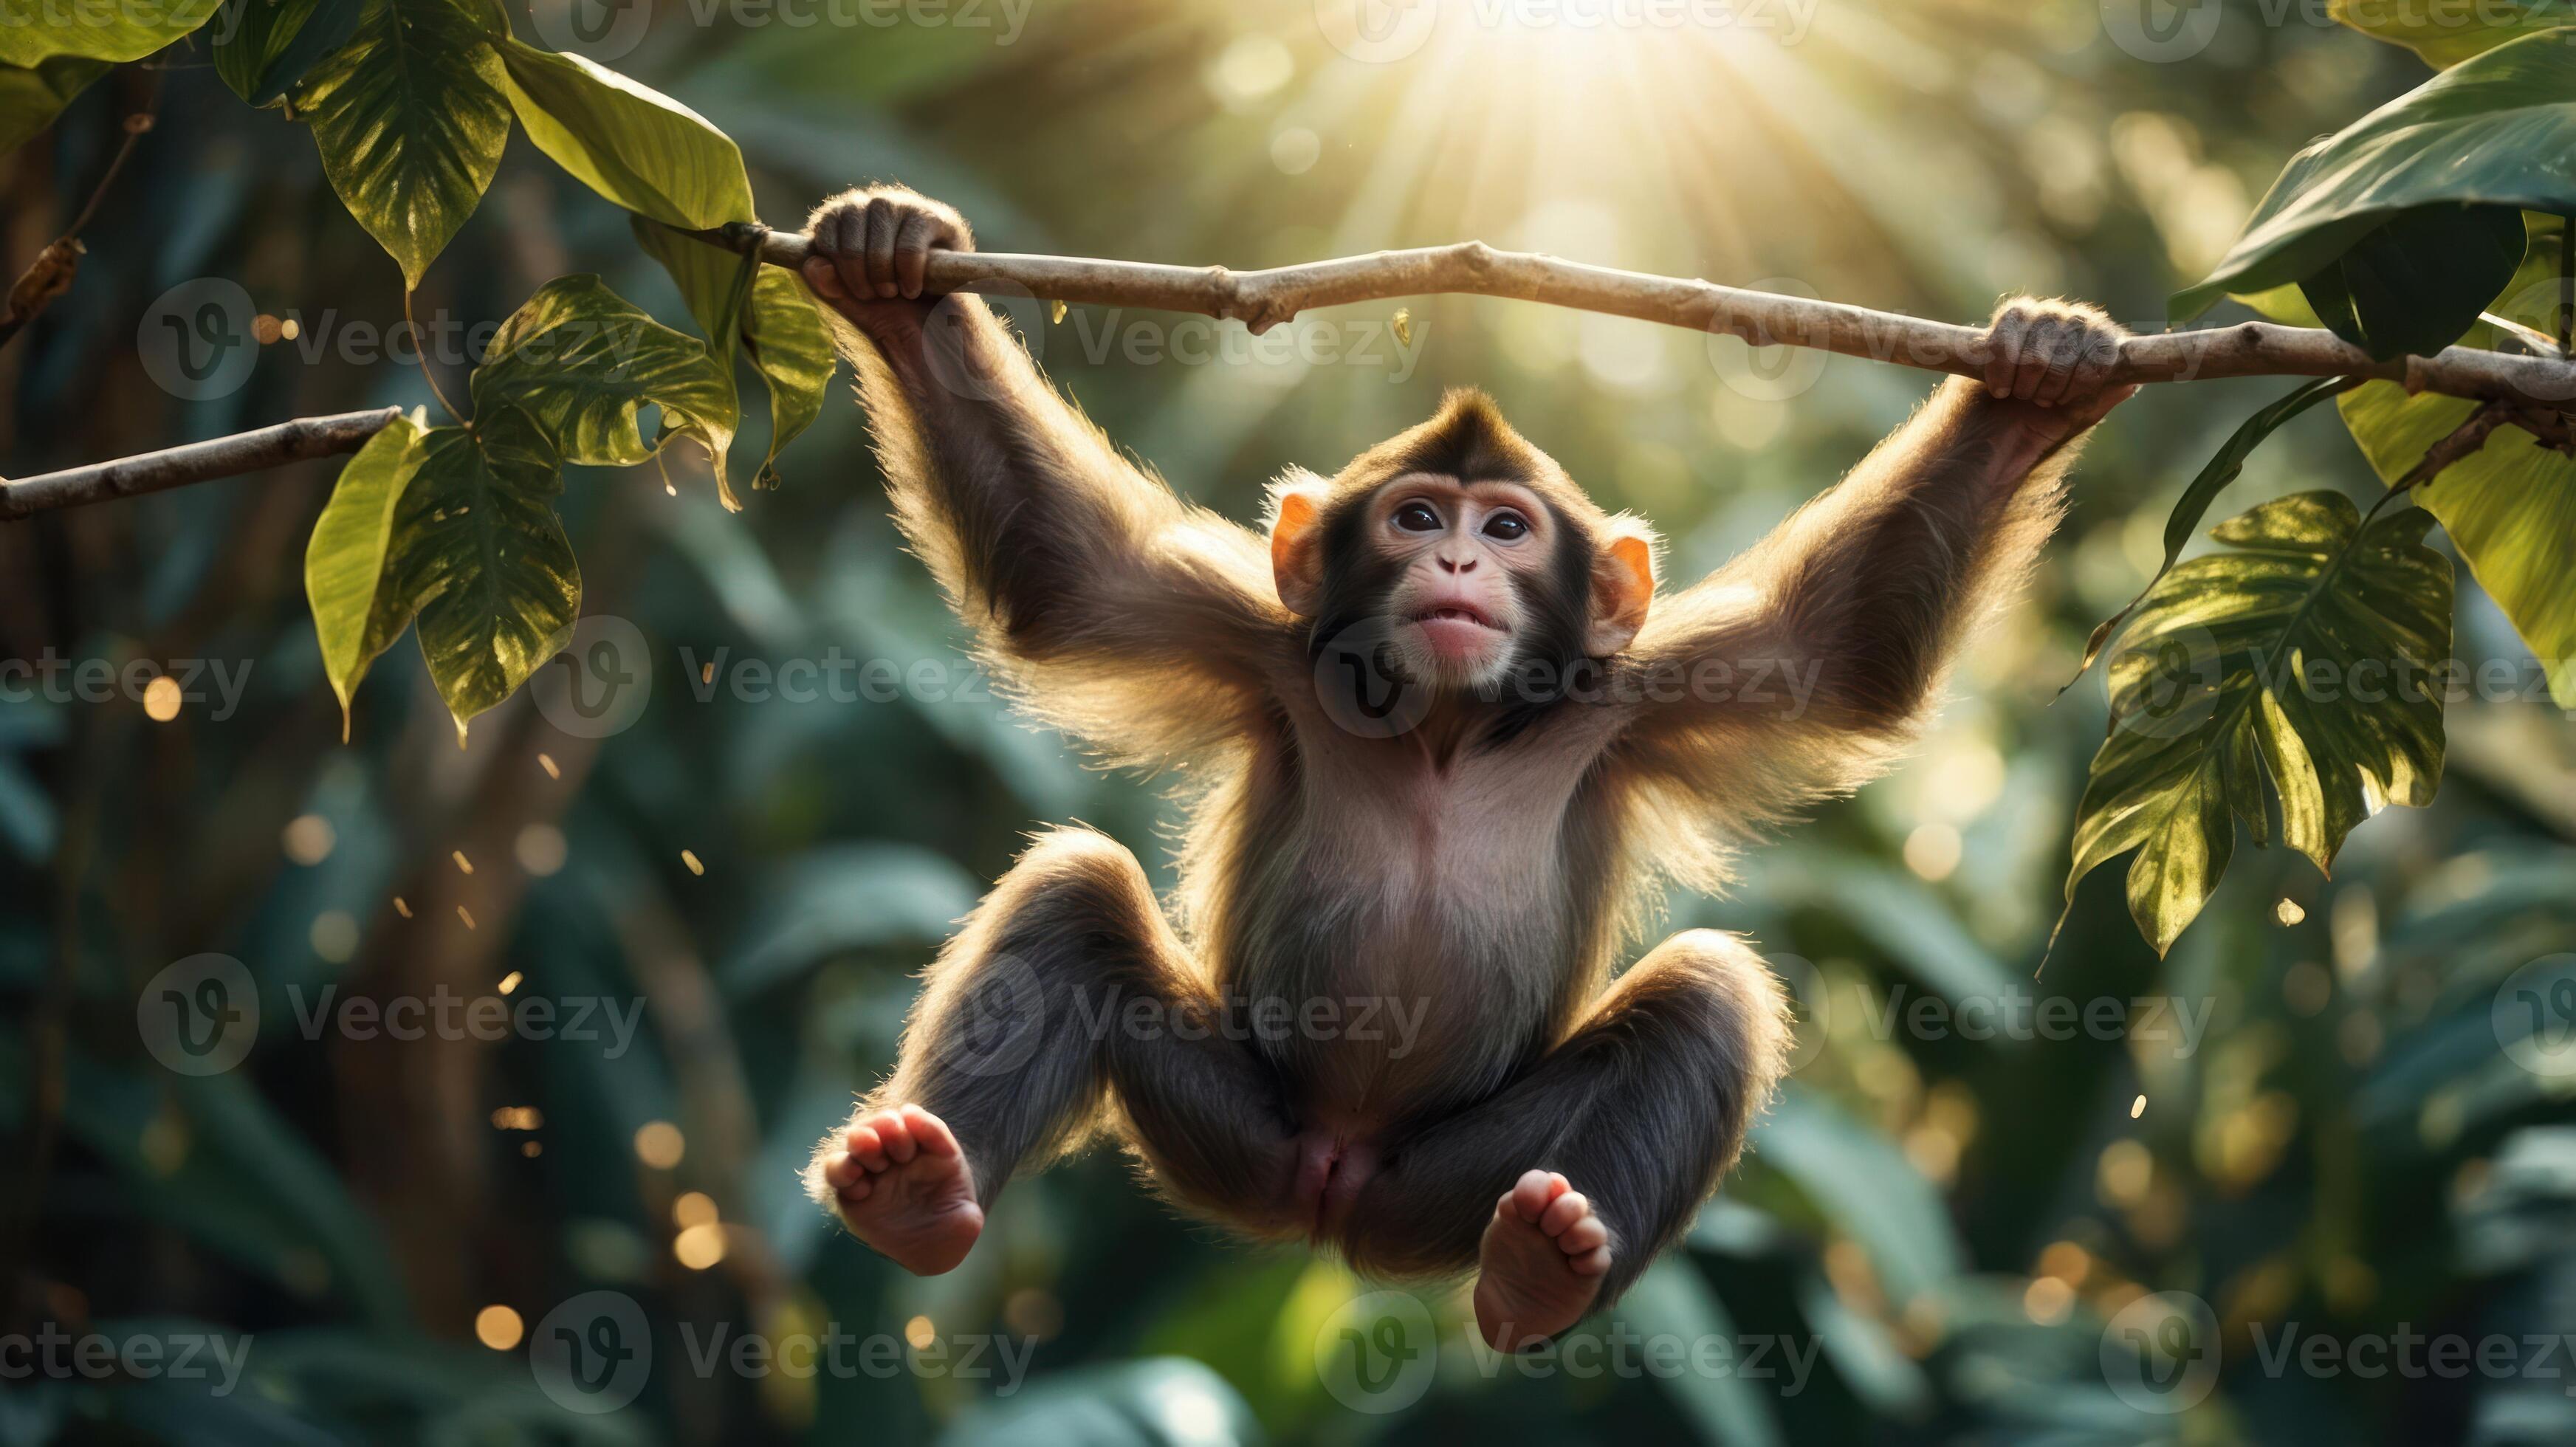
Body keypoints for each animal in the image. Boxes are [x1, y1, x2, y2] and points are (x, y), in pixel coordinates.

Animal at [796, 186, 2133, 1351]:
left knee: (1708, 996)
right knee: (1075, 896)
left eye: (1504, 529)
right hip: (1233, 1132)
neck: (1445, 728)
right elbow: (1070, 575)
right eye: (1416, 519)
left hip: (1452, 1181)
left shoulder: (1636, 692)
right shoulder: (1261, 643)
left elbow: (1834, 649)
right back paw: (919, 1193)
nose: (1457, 566)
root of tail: (1329, 1192)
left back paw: (1541, 1276)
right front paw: (892, 273)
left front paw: (2038, 383)